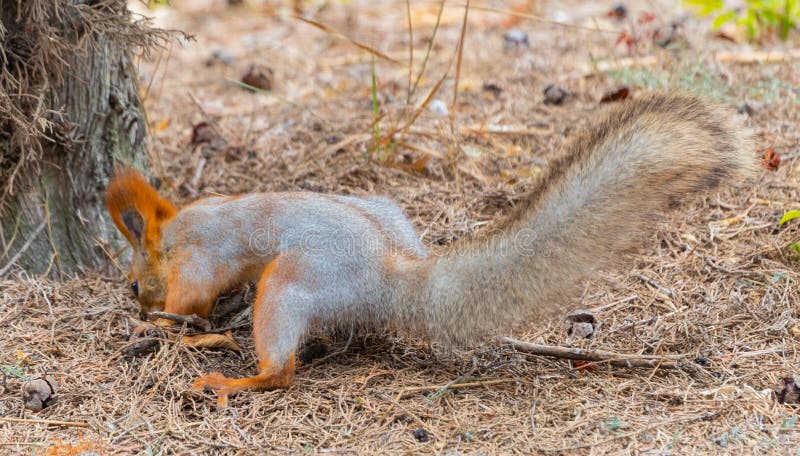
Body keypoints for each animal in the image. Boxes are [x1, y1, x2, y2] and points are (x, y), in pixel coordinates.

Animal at [106, 92, 755, 406]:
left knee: (282, 371)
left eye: (135, 285)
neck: (176, 231)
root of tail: (396, 274)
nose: (138, 304)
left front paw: (169, 325)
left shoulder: (197, 257)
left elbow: (190, 300)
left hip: (292, 281)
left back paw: (230, 376)